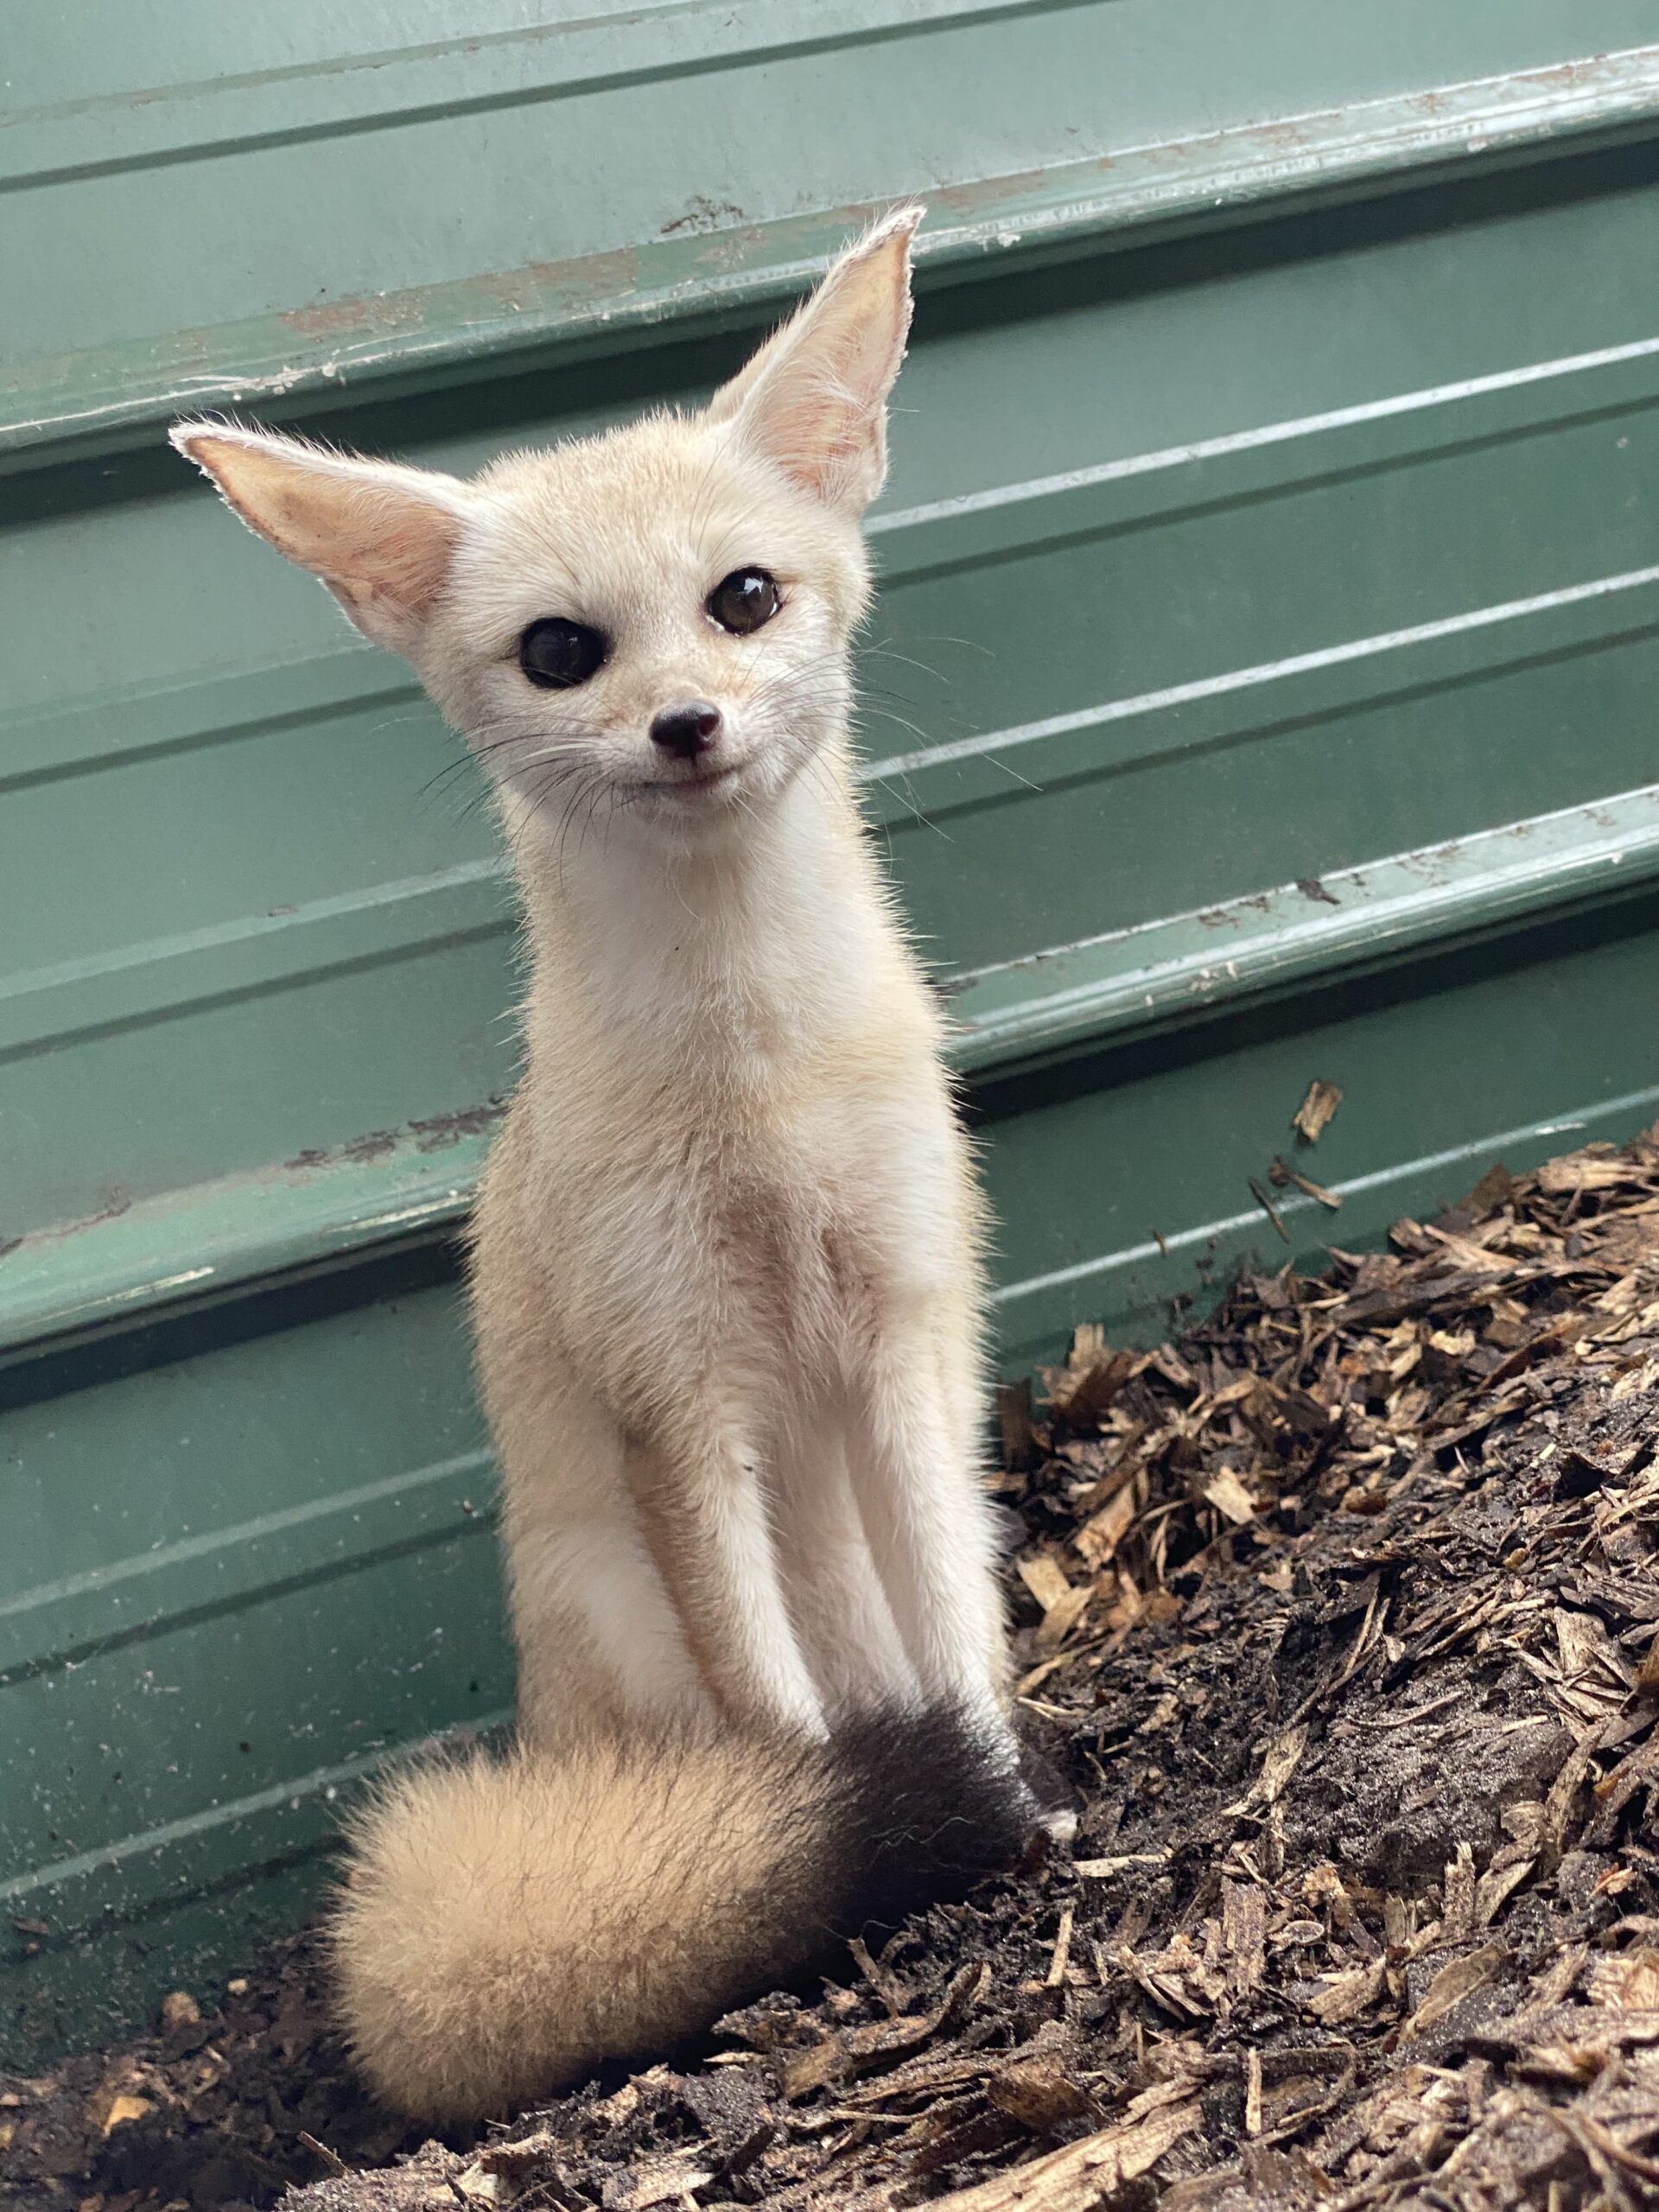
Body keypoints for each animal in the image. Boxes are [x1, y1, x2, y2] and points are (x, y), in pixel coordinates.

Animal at [171, 207, 1052, 2124]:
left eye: (744, 600)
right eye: (563, 652)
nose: (686, 726)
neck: (753, 1091)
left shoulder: (905, 1346)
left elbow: (964, 1631)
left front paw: (1023, 1813)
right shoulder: (682, 1403)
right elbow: (787, 1735)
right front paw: (837, 1857)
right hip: (632, 1606)